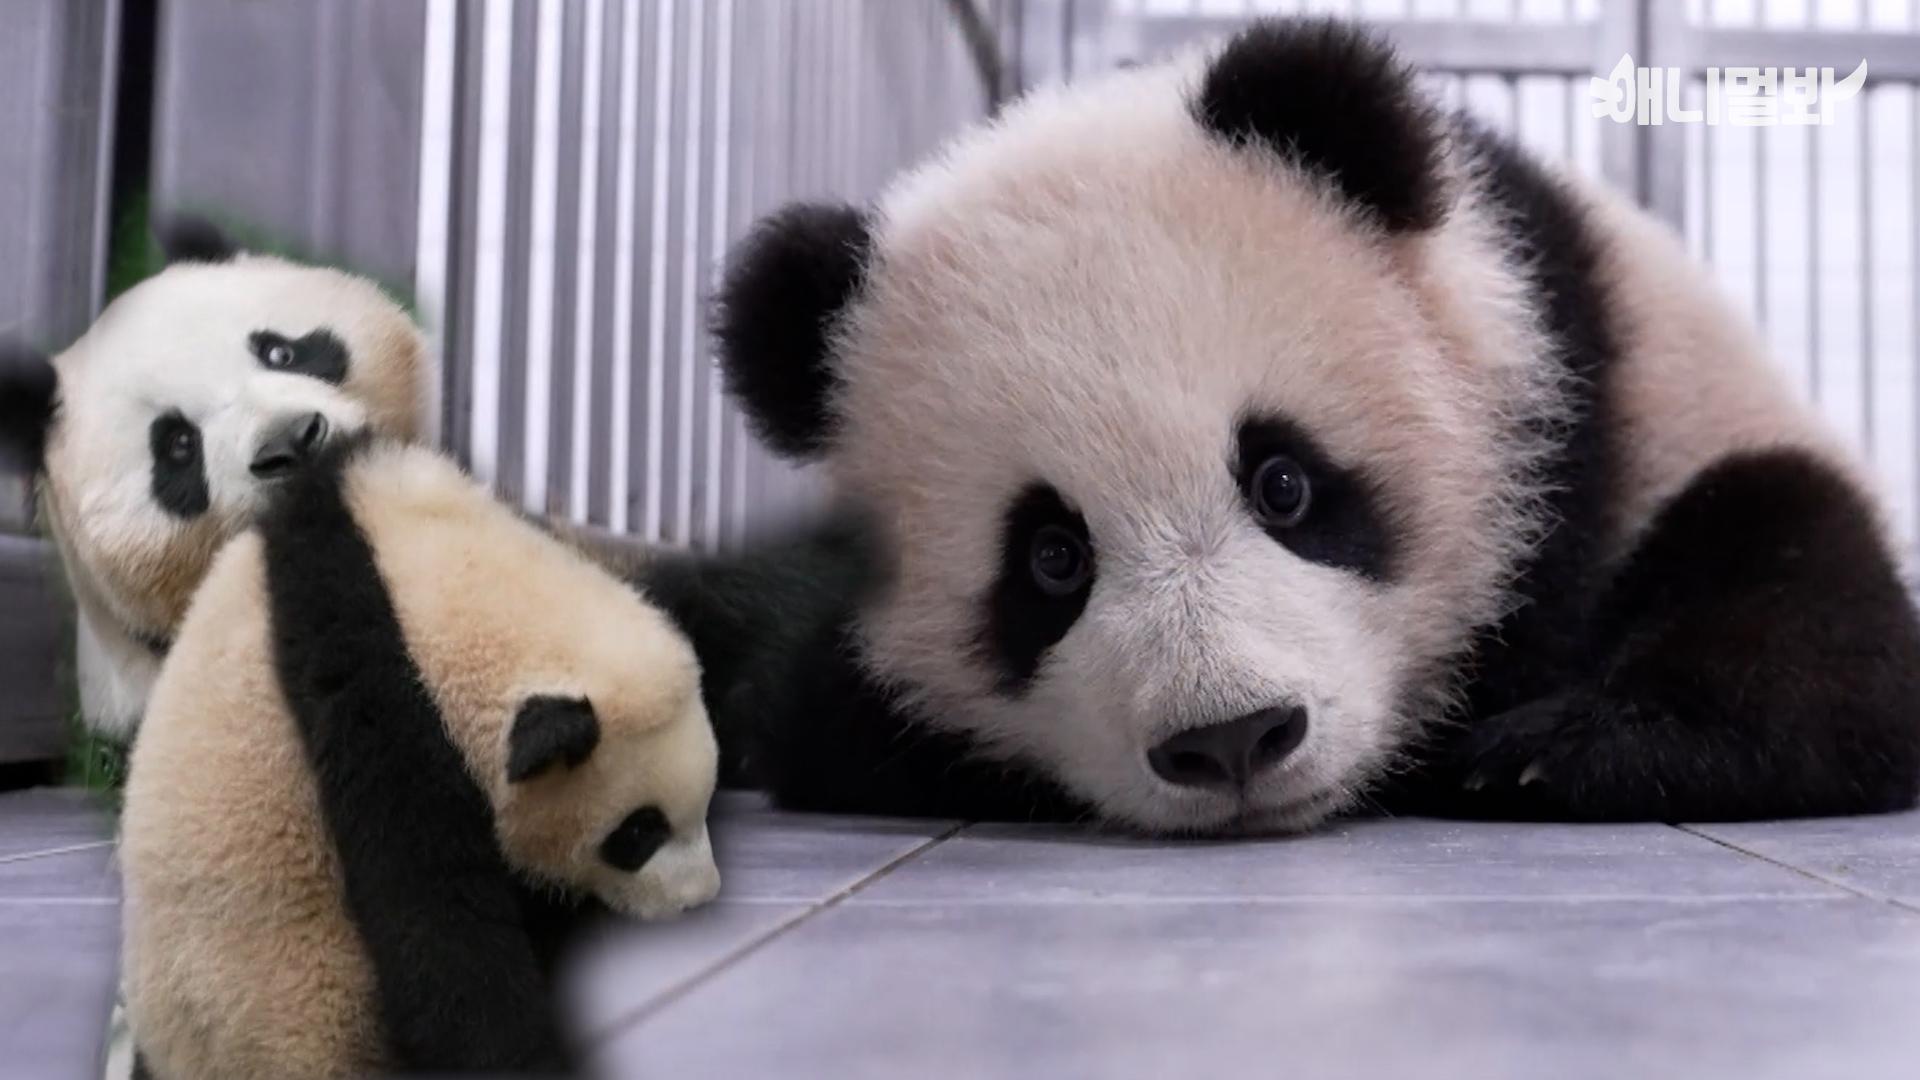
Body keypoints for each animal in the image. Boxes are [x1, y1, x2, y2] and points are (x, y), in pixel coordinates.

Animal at [703, 18, 1920, 834]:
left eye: (1282, 482)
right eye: (1050, 558)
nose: (1231, 738)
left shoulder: (1584, 396)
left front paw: (1544, 748)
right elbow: (820, 704)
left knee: (1791, 558)